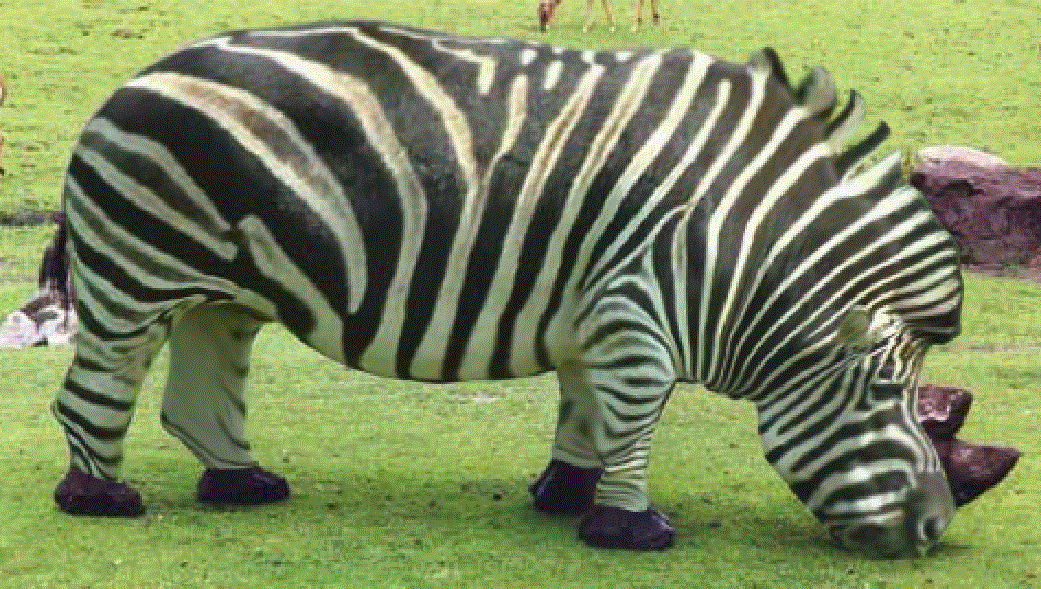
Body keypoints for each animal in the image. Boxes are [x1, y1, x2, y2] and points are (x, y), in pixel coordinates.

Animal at [49, 20, 963, 556]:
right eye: (884, 396)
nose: (934, 528)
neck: (727, 245)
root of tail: (129, 81)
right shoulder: (635, 310)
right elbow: (635, 415)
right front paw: (629, 526)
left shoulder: (597, 308)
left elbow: (586, 409)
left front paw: (564, 493)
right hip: (137, 272)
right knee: (92, 392)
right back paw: (103, 498)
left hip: (223, 294)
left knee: (198, 395)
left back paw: (242, 483)